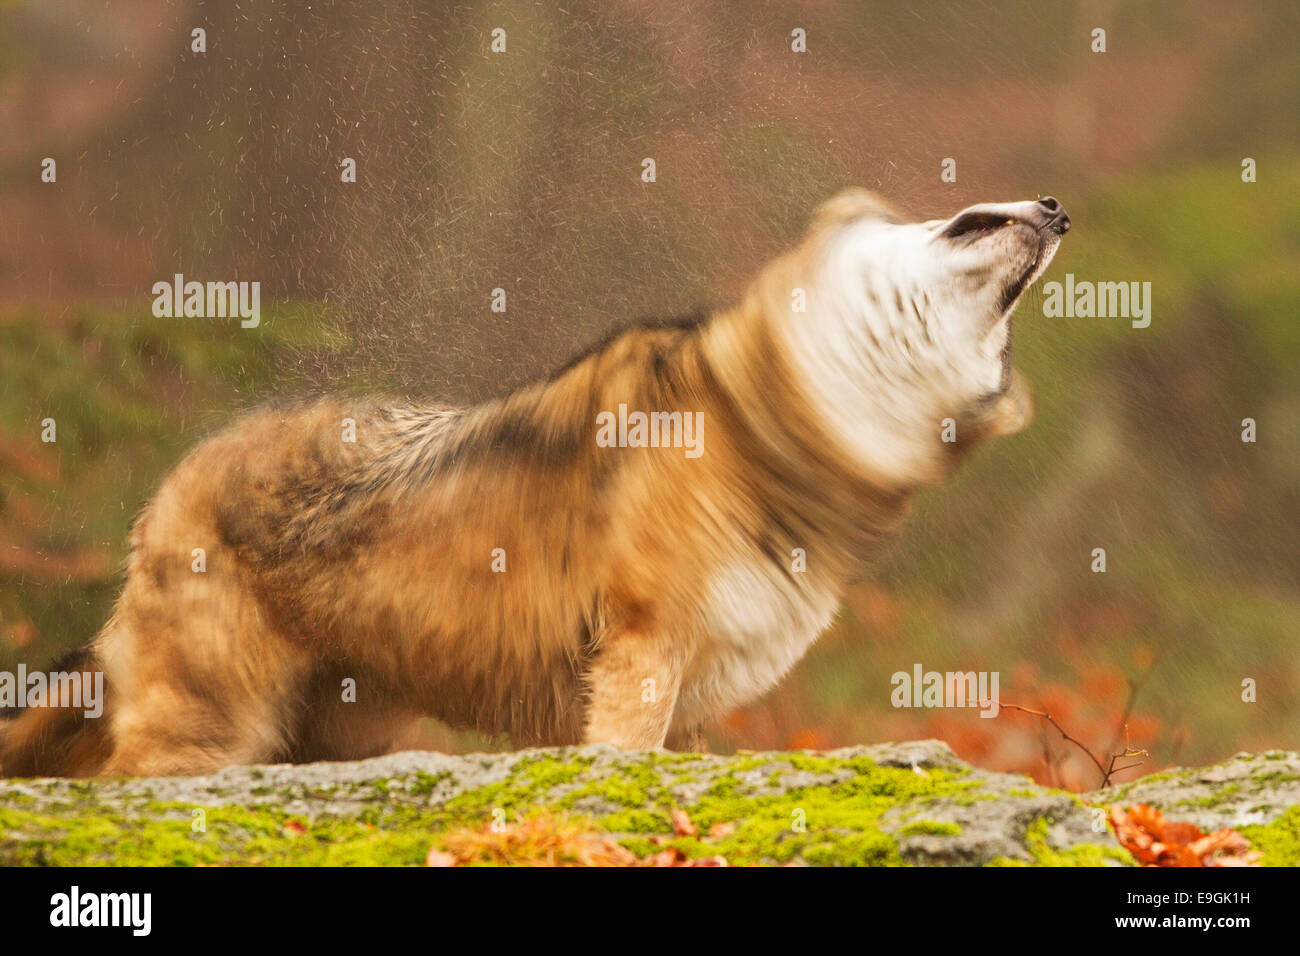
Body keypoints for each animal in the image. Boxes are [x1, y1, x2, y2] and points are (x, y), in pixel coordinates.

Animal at [0, 190, 1069, 777]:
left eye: (1006, 343)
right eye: (972, 216)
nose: (1059, 209)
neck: (781, 439)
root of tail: (169, 486)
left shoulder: (687, 704)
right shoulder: (641, 656)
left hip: (337, 738)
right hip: (211, 735)